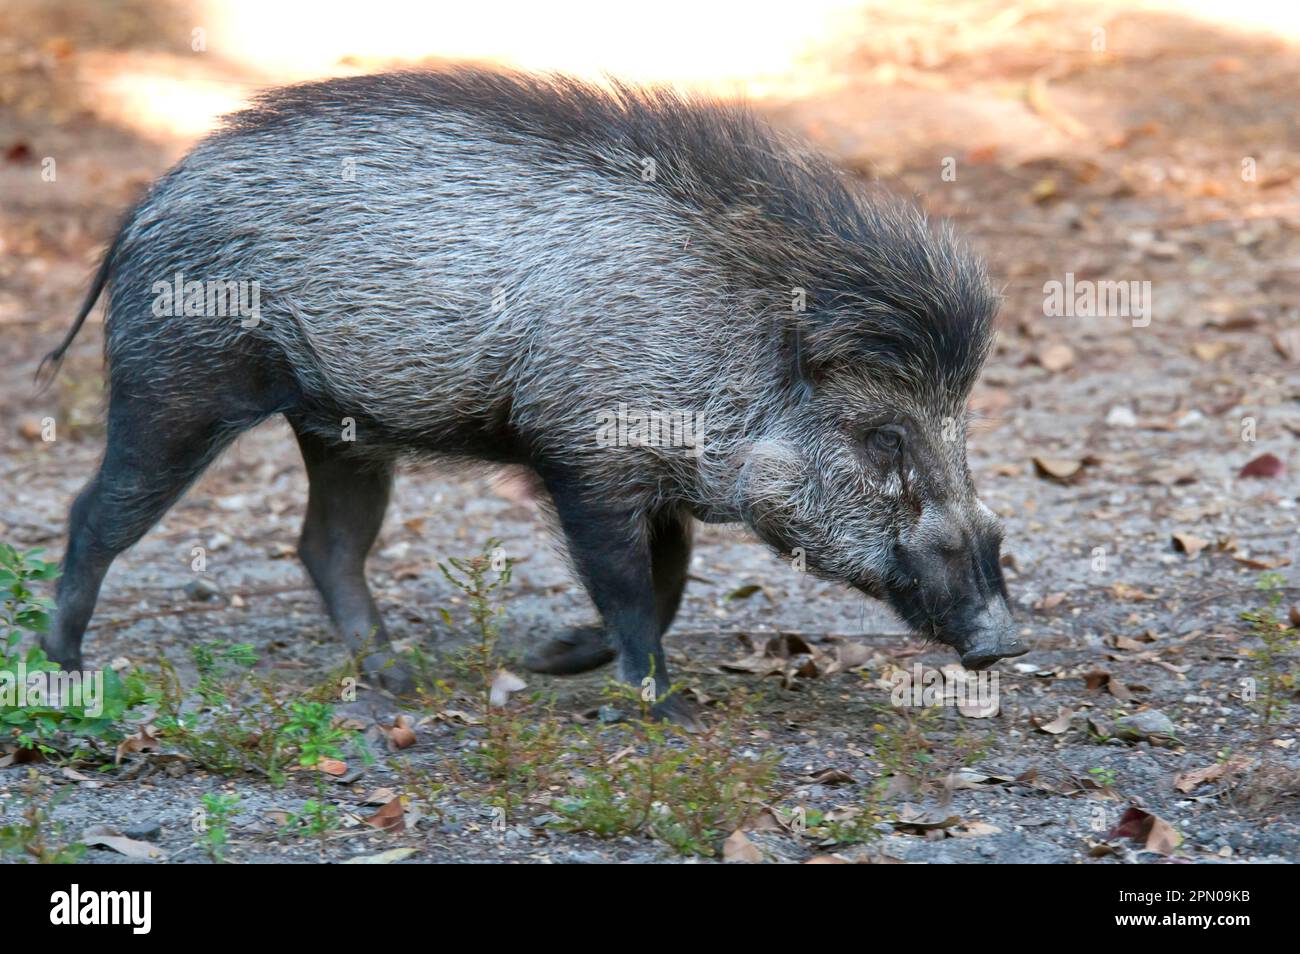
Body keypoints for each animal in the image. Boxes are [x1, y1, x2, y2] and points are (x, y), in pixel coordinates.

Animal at [40, 67, 1025, 722]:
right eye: (882, 437)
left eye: (958, 427)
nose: (1005, 641)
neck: (729, 347)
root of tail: (144, 207)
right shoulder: (582, 459)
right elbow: (633, 587)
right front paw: (662, 707)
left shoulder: (658, 479)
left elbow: (671, 579)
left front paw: (549, 660)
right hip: (178, 387)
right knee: (96, 512)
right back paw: (65, 667)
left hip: (342, 430)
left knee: (326, 545)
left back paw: (397, 682)